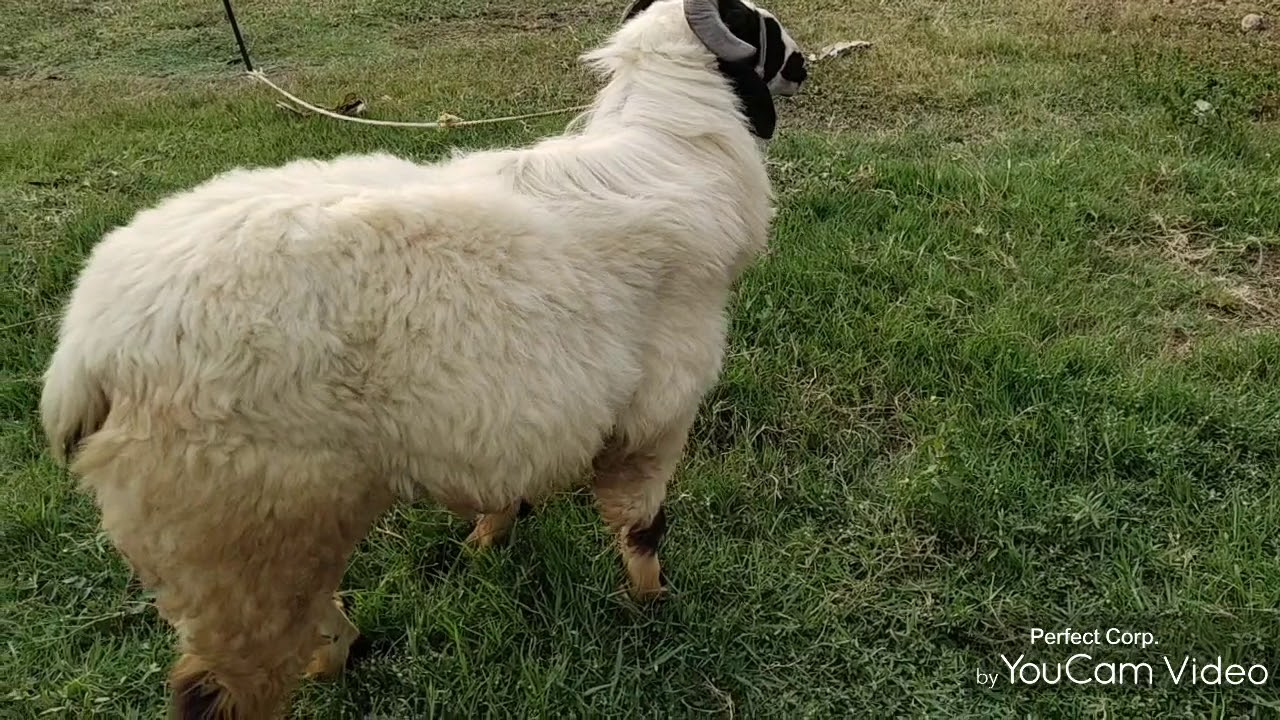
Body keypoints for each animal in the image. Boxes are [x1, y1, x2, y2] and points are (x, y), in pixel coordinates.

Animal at [37, 0, 808, 717]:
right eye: (761, 27)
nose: (802, 65)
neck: (672, 144)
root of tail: (85, 355)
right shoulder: (659, 412)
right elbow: (643, 526)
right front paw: (652, 606)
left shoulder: (515, 423)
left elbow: (511, 494)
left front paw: (485, 542)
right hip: (234, 545)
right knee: (216, 688)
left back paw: (342, 656)